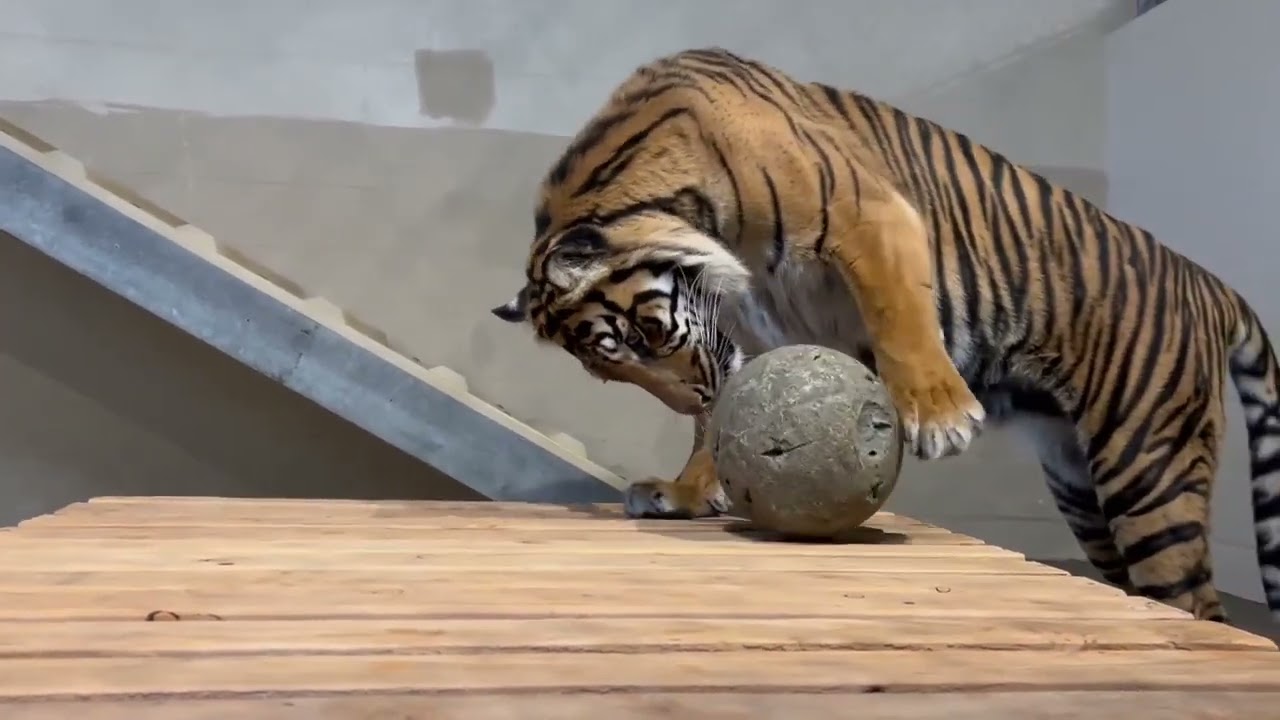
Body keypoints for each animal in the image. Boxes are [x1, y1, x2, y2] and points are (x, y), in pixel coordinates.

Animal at [490, 46, 1280, 624]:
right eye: (612, 370)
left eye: (647, 334)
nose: (685, 397)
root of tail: (1210, 282)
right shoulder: (752, 330)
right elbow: (727, 416)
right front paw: (685, 489)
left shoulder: (865, 213)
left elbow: (899, 315)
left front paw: (940, 414)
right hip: (1082, 485)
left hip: (1149, 466)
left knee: (1199, 602)